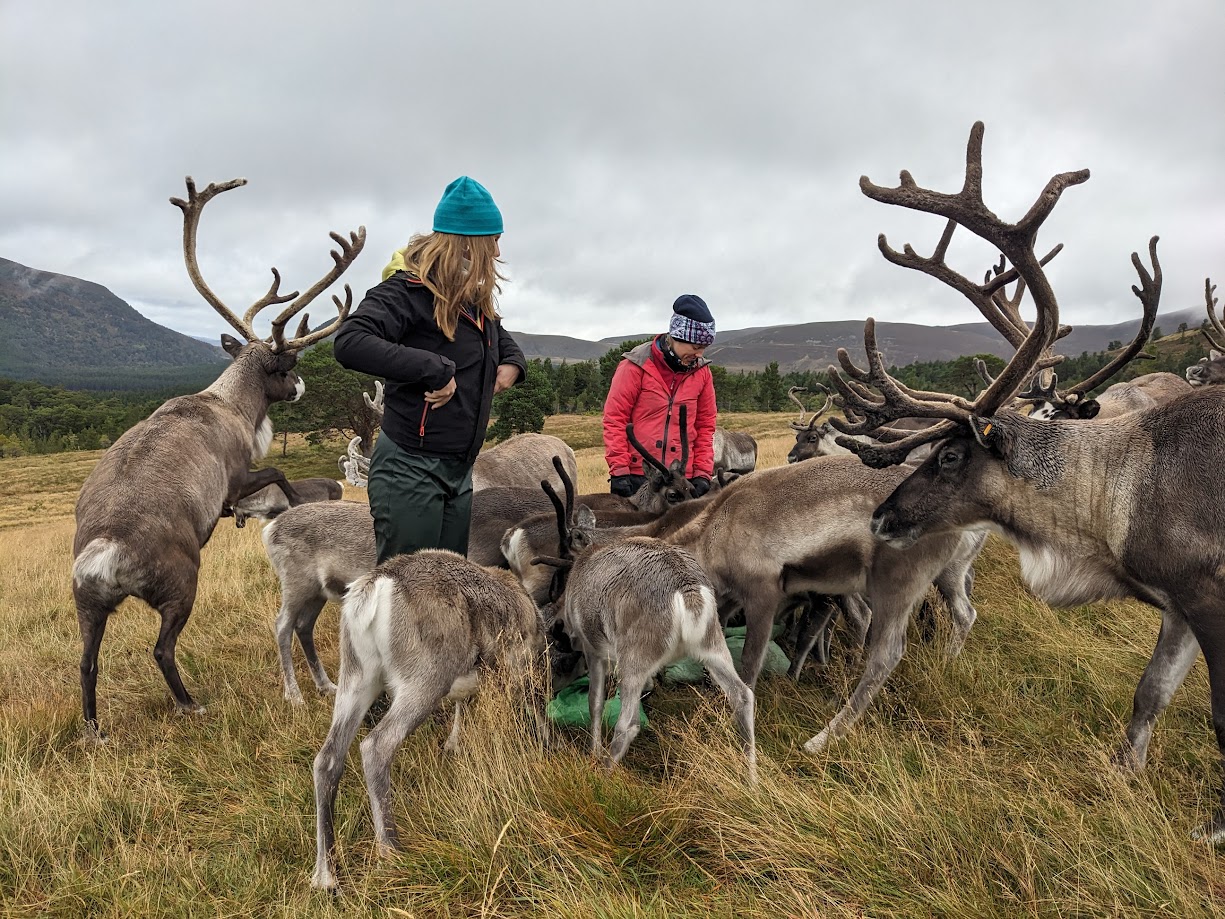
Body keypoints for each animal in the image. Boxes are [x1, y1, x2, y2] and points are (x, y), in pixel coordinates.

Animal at [71, 176, 365, 737]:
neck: (233, 403)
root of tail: (105, 554)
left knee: (87, 661)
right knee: (161, 649)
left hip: (87, 604)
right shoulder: (235, 479)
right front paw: (296, 503)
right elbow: (277, 471)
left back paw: (95, 730)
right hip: (182, 584)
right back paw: (191, 704)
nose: (301, 386)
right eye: (286, 366)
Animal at [310, 549, 546, 891]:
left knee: (327, 758)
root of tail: (377, 586)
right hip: (424, 681)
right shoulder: (520, 671)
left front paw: (454, 745)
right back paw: (392, 853)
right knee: (376, 747)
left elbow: (463, 708)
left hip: (356, 677)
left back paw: (326, 875)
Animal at [530, 461, 756, 778]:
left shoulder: (594, 649)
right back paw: (752, 779)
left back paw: (604, 772)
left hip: (634, 656)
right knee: (743, 696)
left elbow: (594, 702)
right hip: (713, 645)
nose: (557, 627)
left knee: (628, 724)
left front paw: (593, 751)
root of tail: (686, 591)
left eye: (563, 562)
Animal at [811, 122, 1225, 844]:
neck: (1116, 489)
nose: (881, 515)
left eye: (950, 455)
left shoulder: (1210, 594)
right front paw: (1123, 783)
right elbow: (1148, 694)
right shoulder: (1179, 601)